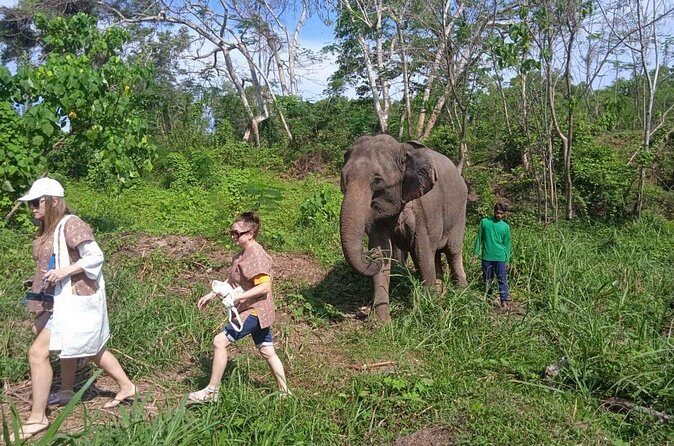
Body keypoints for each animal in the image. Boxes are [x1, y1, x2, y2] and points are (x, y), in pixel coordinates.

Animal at [340, 134, 468, 322]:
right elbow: (384, 250)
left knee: (452, 251)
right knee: (435, 253)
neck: (402, 149)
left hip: (460, 213)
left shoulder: (428, 208)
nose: (371, 254)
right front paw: (381, 323)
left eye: (377, 181)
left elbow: (423, 251)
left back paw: (461, 291)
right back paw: (441, 290)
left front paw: (426, 312)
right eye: (343, 179)